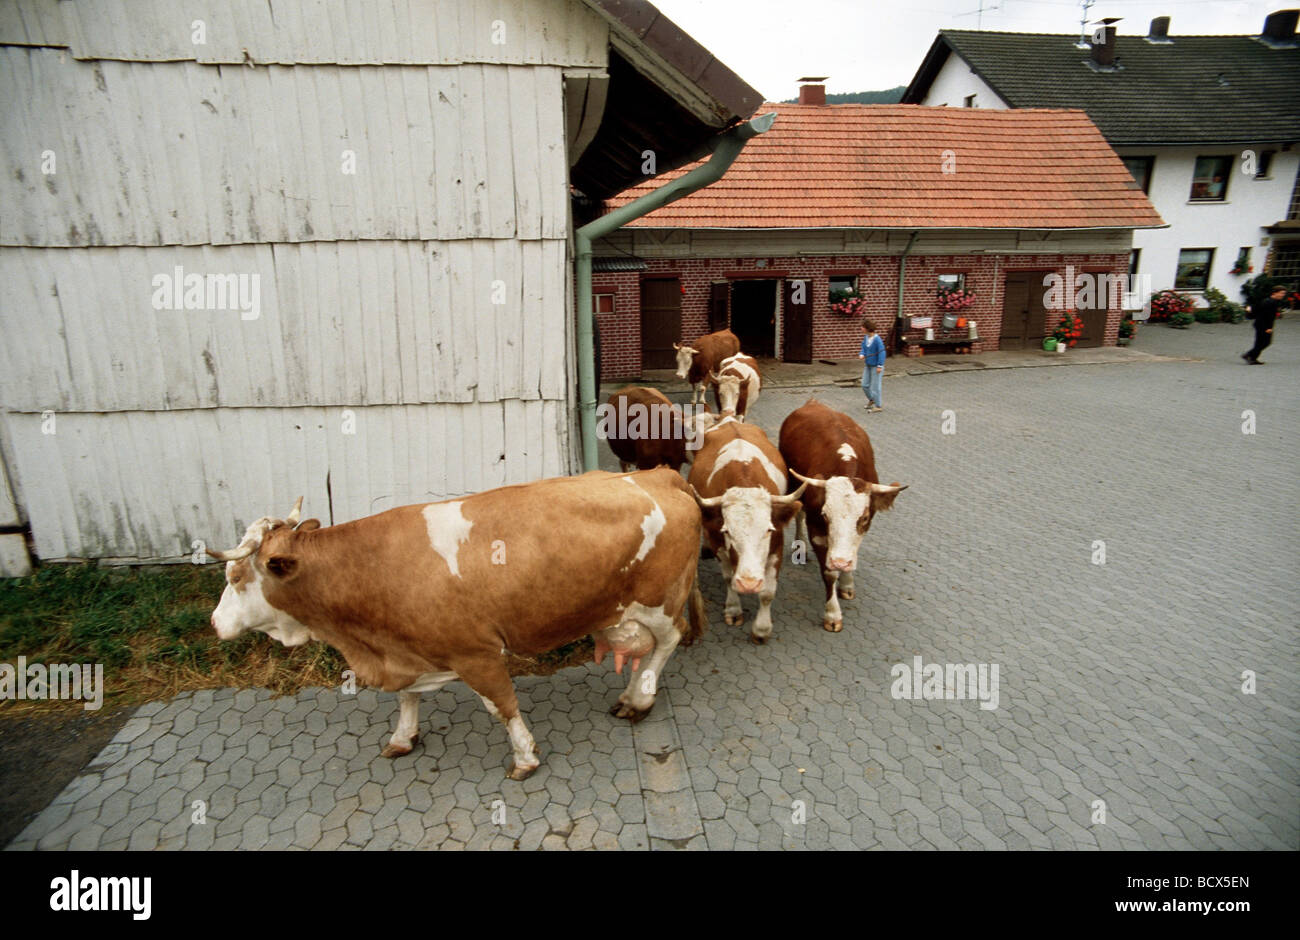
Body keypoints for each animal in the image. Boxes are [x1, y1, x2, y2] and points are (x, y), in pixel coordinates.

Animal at [206, 469, 706, 781]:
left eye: (235, 576)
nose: (213, 621)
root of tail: (659, 474)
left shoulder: (476, 653)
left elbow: (502, 706)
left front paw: (525, 758)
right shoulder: (408, 649)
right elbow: (407, 698)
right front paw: (402, 737)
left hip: (659, 604)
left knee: (670, 640)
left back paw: (638, 698)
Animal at [687, 418, 806, 643]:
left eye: (768, 530)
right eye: (726, 531)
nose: (749, 583)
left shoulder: (776, 548)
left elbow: (767, 593)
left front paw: (761, 629)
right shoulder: (719, 544)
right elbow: (728, 578)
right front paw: (733, 609)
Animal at [778, 398, 907, 633]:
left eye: (864, 518)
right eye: (825, 515)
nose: (839, 561)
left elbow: (852, 550)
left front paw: (847, 583)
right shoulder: (817, 529)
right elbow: (829, 573)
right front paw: (832, 615)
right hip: (795, 485)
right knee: (799, 512)